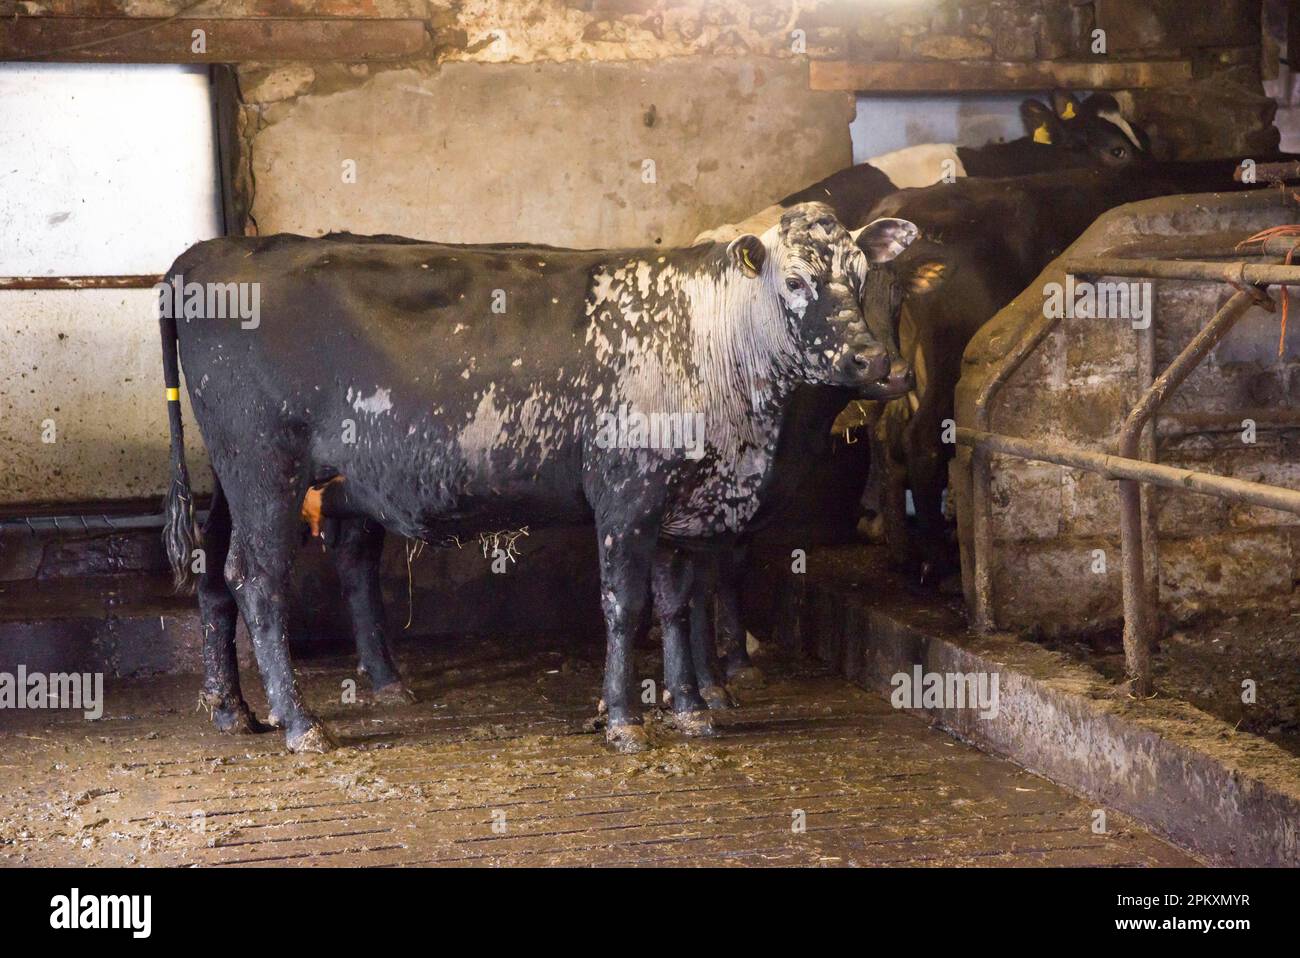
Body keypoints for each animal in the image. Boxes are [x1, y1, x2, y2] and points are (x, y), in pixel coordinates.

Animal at [158, 203, 920, 753]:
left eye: (860, 276)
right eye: (794, 281)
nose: (873, 359)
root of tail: (211, 252)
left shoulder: (681, 505)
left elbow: (677, 605)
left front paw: (691, 708)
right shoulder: (626, 497)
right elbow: (625, 607)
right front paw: (624, 721)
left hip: (234, 478)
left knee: (215, 575)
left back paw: (232, 708)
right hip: (265, 469)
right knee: (259, 582)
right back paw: (299, 723)